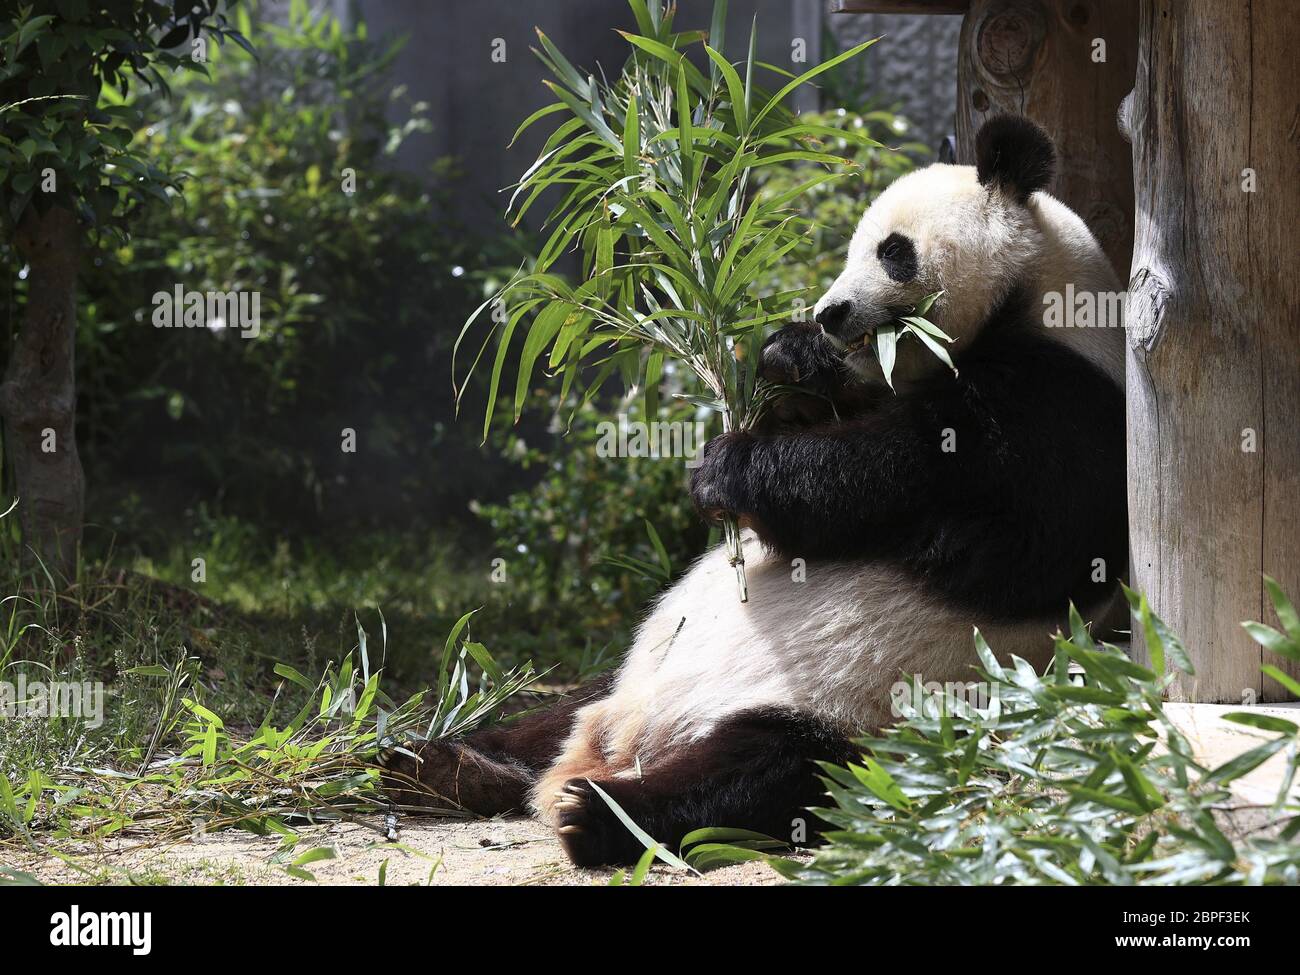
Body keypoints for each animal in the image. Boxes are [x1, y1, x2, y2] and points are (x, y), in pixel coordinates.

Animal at [385, 116, 1129, 866]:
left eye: (893, 252)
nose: (830, 313)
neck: (1034, 300)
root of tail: (620, 743)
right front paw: (788, 356)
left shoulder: (1060, 410)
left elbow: (951, 502)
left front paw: (728, 467)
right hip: (629, 672)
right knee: (551, 710)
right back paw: (440, 761)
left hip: (859, 713)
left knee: (770, 770)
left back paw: (595, 813)